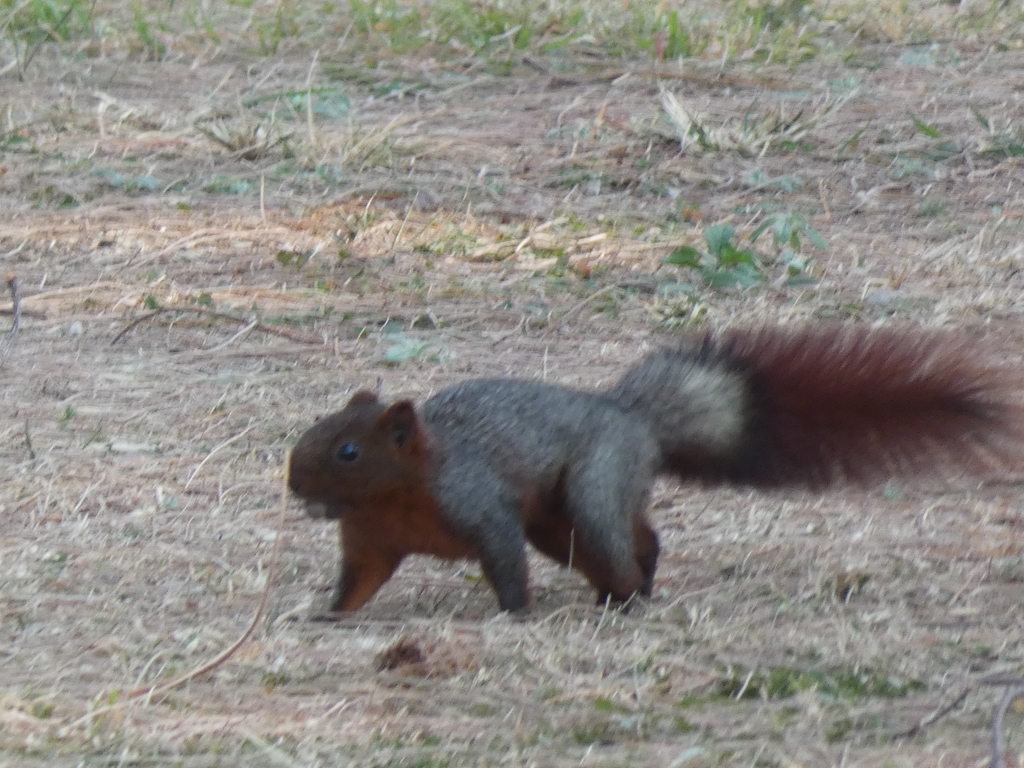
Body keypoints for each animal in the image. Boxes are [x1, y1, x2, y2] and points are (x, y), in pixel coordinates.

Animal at [288, 324, 1024, 614]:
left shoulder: (476, 501)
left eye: (349, 451)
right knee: (633, 537)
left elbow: (501, 557)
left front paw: (513, 612)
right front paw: (327, 615)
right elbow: (359, 580)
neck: (399, 494)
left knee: (619, 535)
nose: (294, 484)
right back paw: (627, 589)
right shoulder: (369, 541)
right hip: (558, 520)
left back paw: (626, 595)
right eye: (315, 429)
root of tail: (631, 418)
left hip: (593, 482)